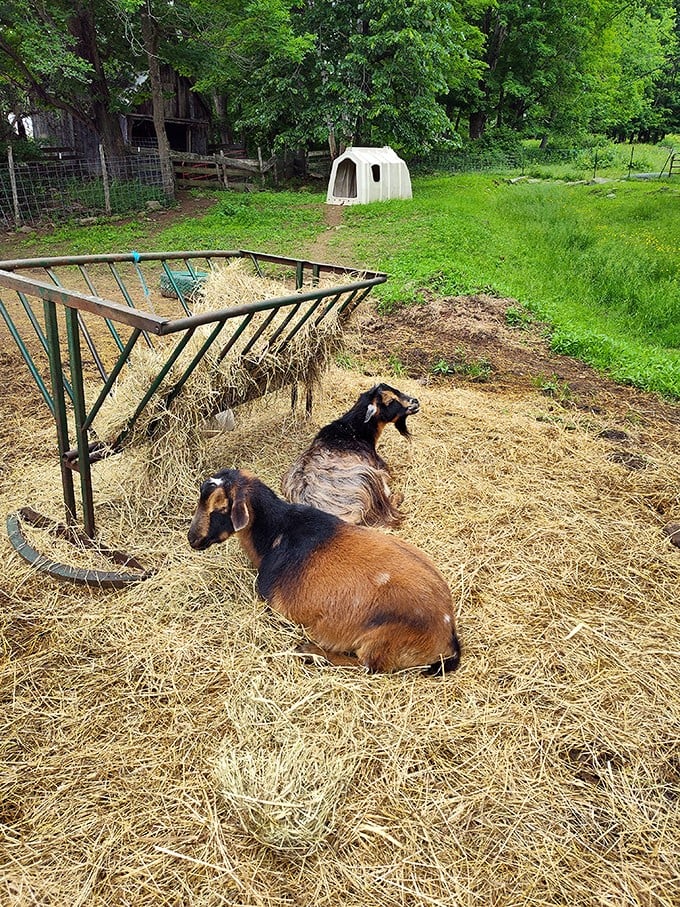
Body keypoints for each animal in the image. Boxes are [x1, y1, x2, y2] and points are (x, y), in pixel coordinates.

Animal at [188, 468, 460, 675]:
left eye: (220, 507)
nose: (192, 539)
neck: (277, 532)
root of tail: (448, 635)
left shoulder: (274, 607)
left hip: (380, 642)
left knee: (366, 666)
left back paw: (310, 652)